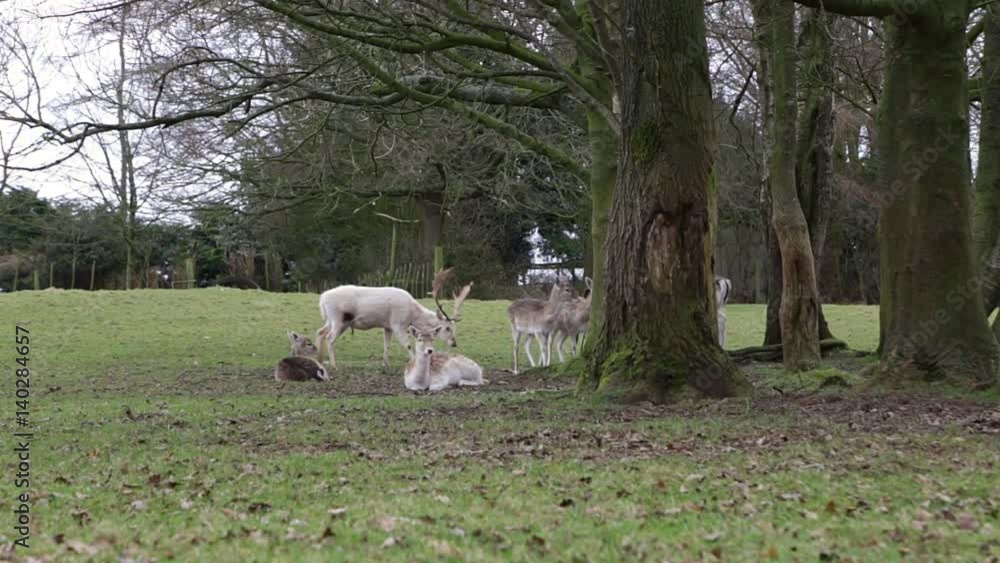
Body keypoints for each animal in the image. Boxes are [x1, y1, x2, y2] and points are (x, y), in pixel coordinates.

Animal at [315, 268, 473, 370]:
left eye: (455, 327)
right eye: (447, 328)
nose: (454, 343)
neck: (411, 314)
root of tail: (322, 298)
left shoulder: (388, 326)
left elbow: (387, 345)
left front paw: (386, 364)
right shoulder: (398, 324)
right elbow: (407, 344)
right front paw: (413, 362)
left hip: (330, 320)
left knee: (320, 332)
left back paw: (319, 361)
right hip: (339, 319)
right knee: (329, 338)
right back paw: (334, 365)